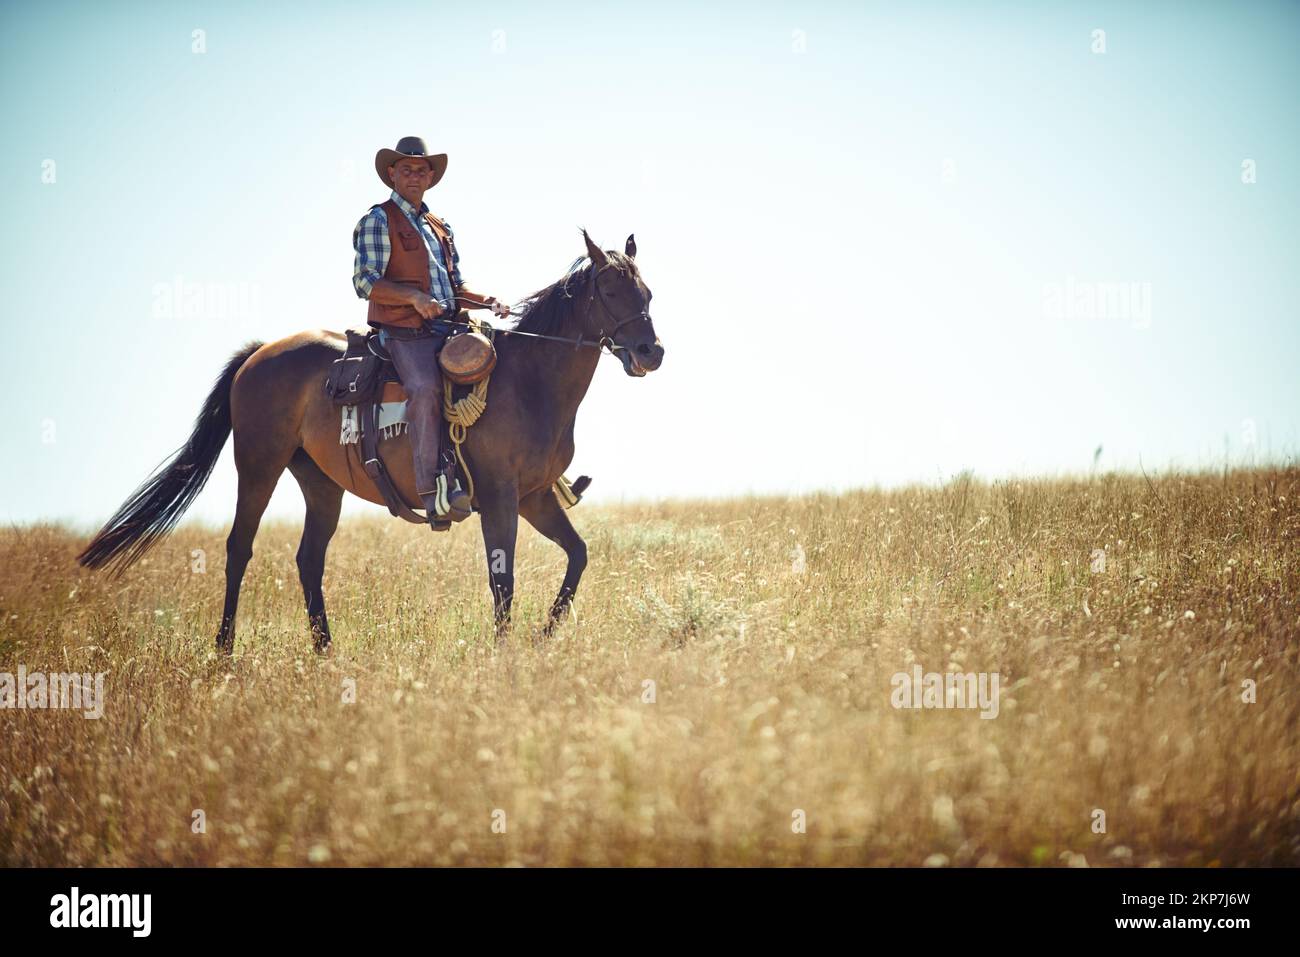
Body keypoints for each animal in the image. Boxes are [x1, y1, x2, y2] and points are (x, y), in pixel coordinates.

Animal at [76, 231, 663, 653]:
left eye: (648, 292)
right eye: (610, 291)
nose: (651, 352)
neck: (528, 379)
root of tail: (260, 353)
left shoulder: (534, 496)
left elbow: (577, 556)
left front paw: (544, 634)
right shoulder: (500, 497)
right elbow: (504, 579)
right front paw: (505, 650)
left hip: (319, 483)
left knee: (308, 559)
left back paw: (324, 650)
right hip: (258, 466)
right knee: (239, 548)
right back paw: (224, 649)